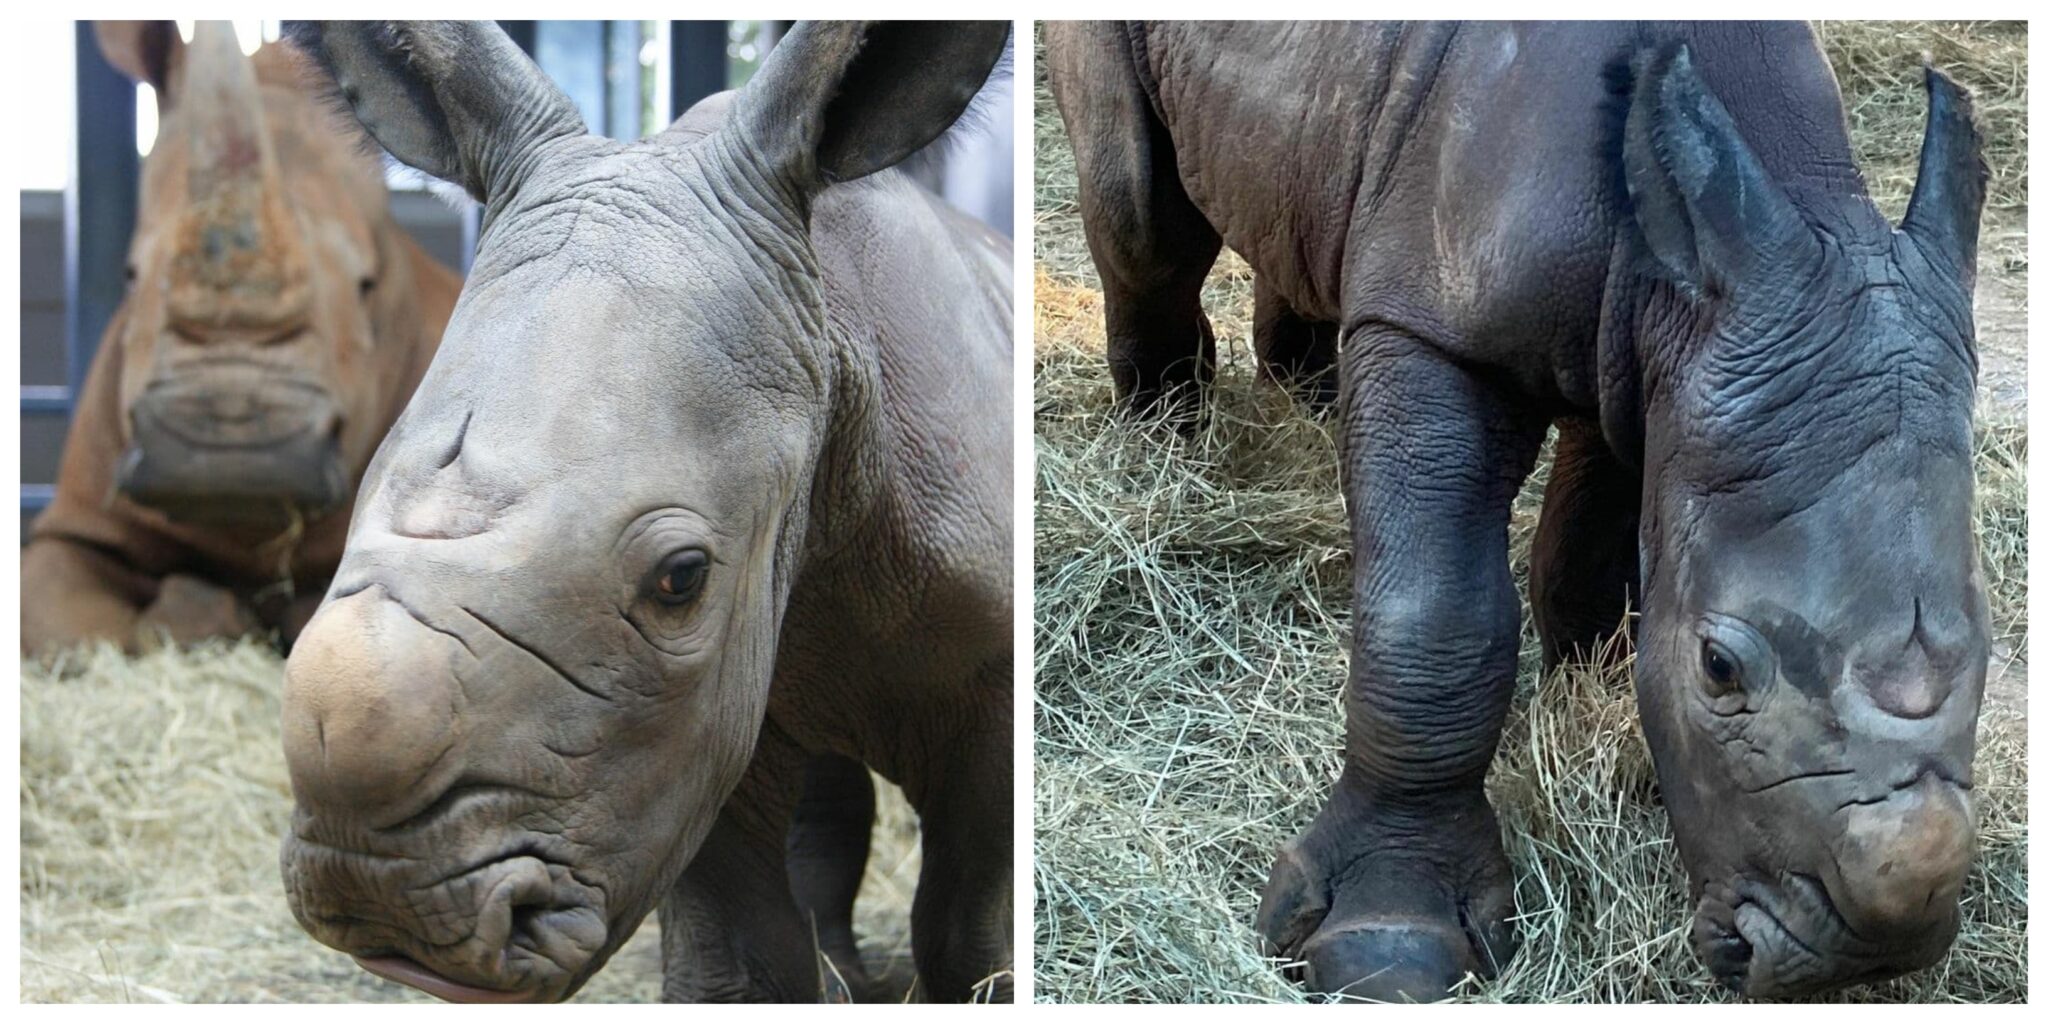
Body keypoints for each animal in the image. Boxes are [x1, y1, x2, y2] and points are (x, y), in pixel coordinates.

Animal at [1048, 21, 1989, 1000]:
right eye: (1719, 668)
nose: (1868, 949)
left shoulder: (1650, 363)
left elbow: (1589, 557)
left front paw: (1589, 696)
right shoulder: (1440, 332)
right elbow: (1436, 618)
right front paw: (1384, 953)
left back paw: (1304, 405)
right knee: (1140, 219)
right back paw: (1163, 452)